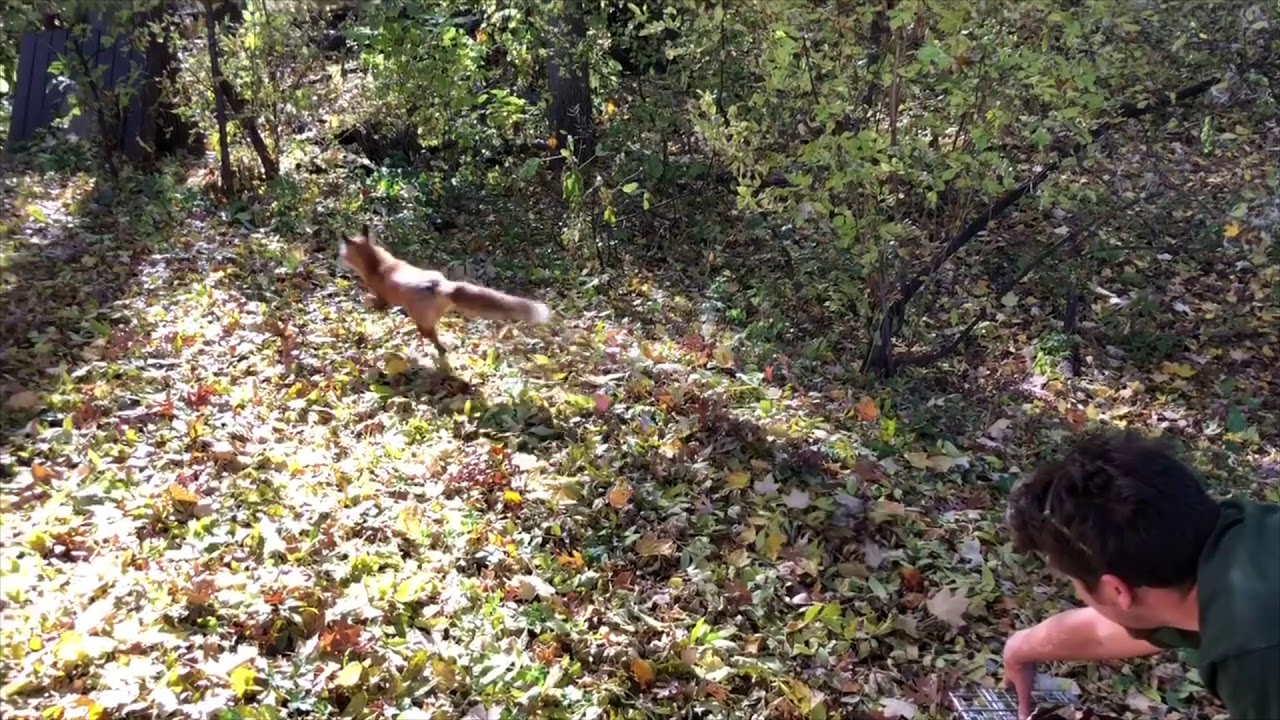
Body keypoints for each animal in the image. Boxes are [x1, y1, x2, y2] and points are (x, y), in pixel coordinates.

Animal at [337, 225, 550, 363]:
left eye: (342, 253)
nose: (338, 259)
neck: (377, 265)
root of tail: (442, 286)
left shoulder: (383, 298)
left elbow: (374, 303)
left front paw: (364, 302)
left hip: (422, 321)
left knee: (433, 339)